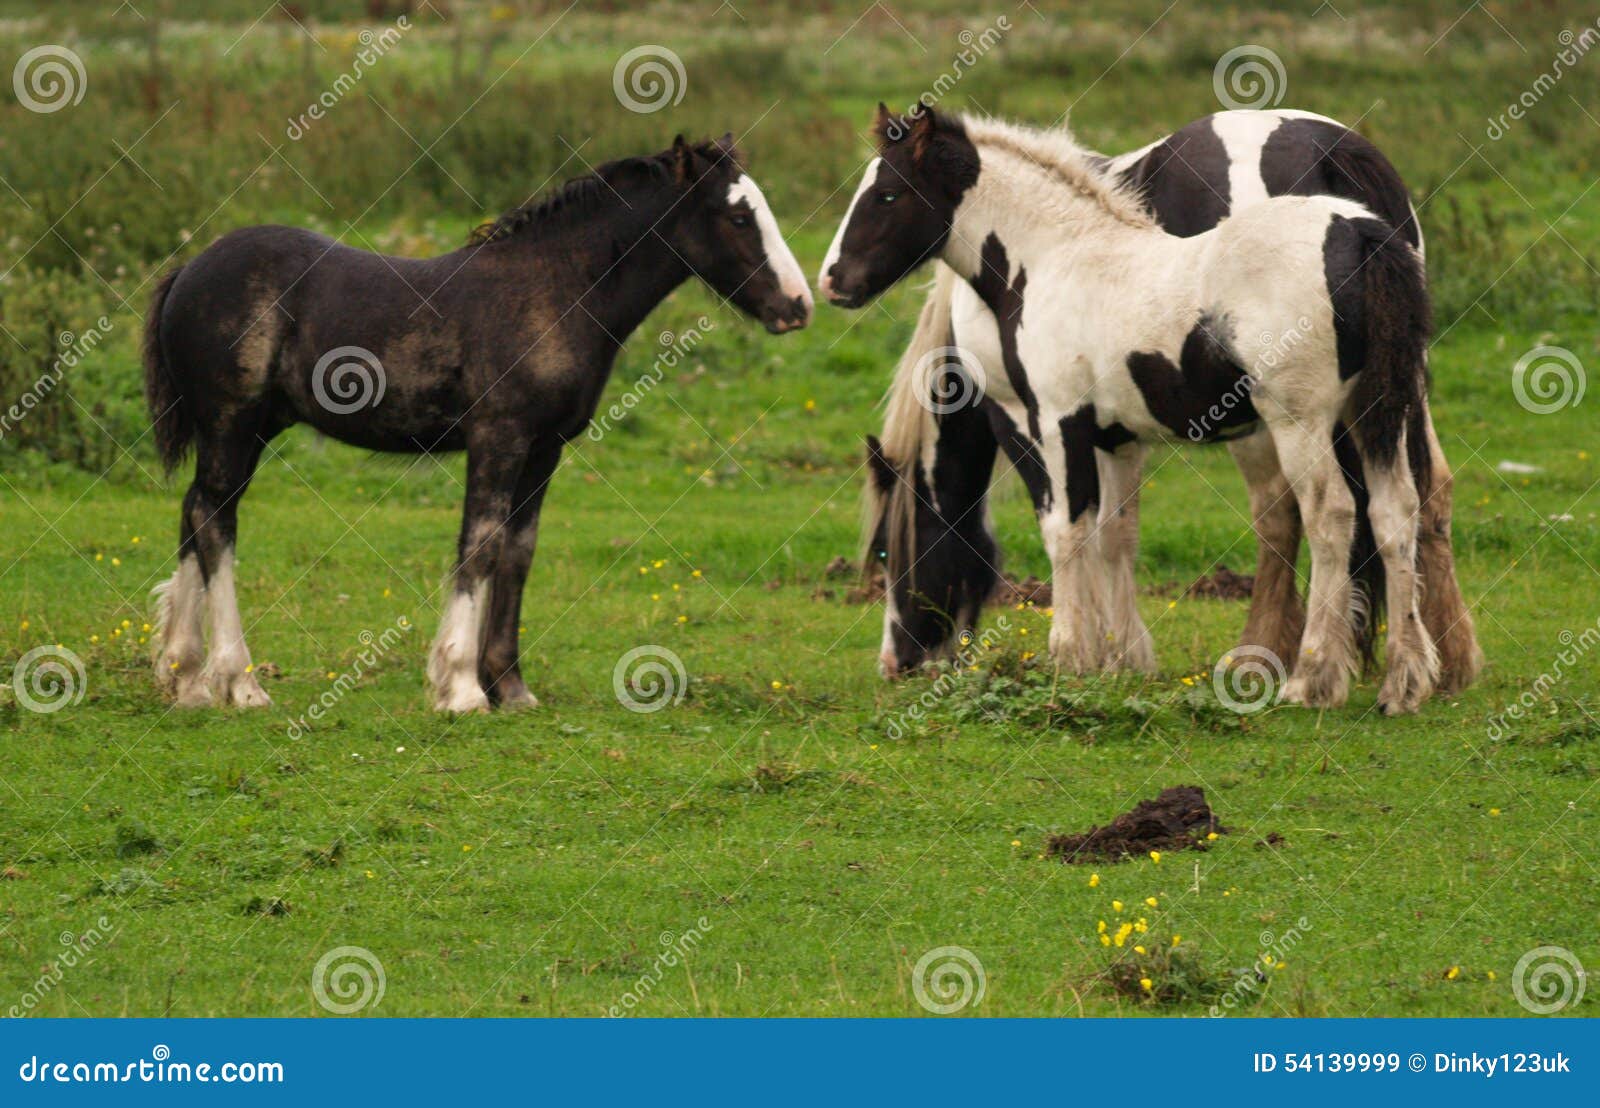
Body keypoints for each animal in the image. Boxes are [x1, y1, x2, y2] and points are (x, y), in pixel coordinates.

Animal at [144, 135, 811, 713]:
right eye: (739, 218)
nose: (799, 305)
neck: (555, 290)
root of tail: (189, 269)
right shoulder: (499, 437)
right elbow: (481, 544)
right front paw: (461, 687)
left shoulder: (545, 448)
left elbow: (517, 551)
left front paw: (510, 687)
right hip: (232, 423)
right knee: (216, 522)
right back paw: (239, 682)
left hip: (250, 429)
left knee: (196, 511)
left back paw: (187, 680)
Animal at [823, 105, 1441, 714]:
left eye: (888, 194)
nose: (833, 281)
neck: (1057, 258)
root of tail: (1360, 231)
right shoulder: (1116, 437)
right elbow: (1114, 533)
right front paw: (1120, 662)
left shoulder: (1050, 421)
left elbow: (1064, 529)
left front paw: (1069, 655)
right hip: (1379, 412)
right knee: (1397, 510)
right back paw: (1404, 683)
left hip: (1299, 421)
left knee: (1329, 515)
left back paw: (1311, 678)